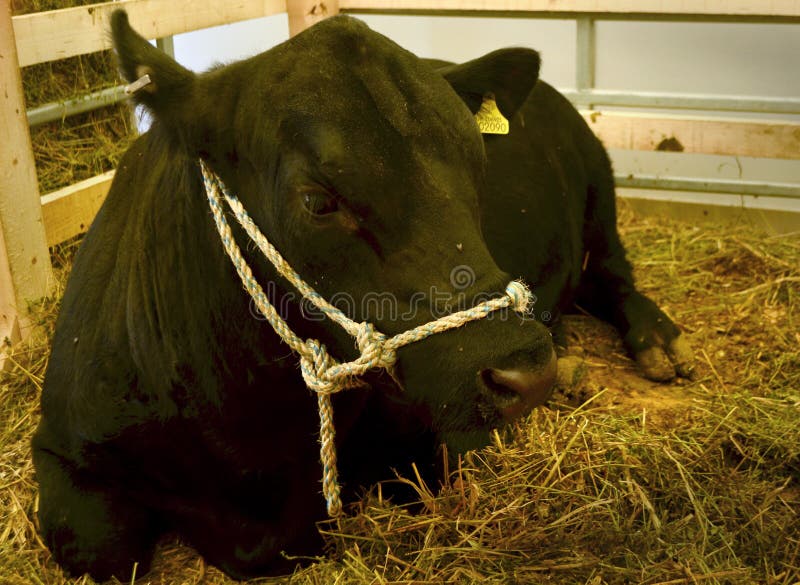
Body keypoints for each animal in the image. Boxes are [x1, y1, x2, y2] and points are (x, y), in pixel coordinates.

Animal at [32, 10, 692, 582]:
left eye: (477, 162)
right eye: (317, 200)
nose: (525, 371)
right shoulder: (60, 447)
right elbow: (99, 546)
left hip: (601, 194)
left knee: (615, 277)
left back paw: (650, 343)